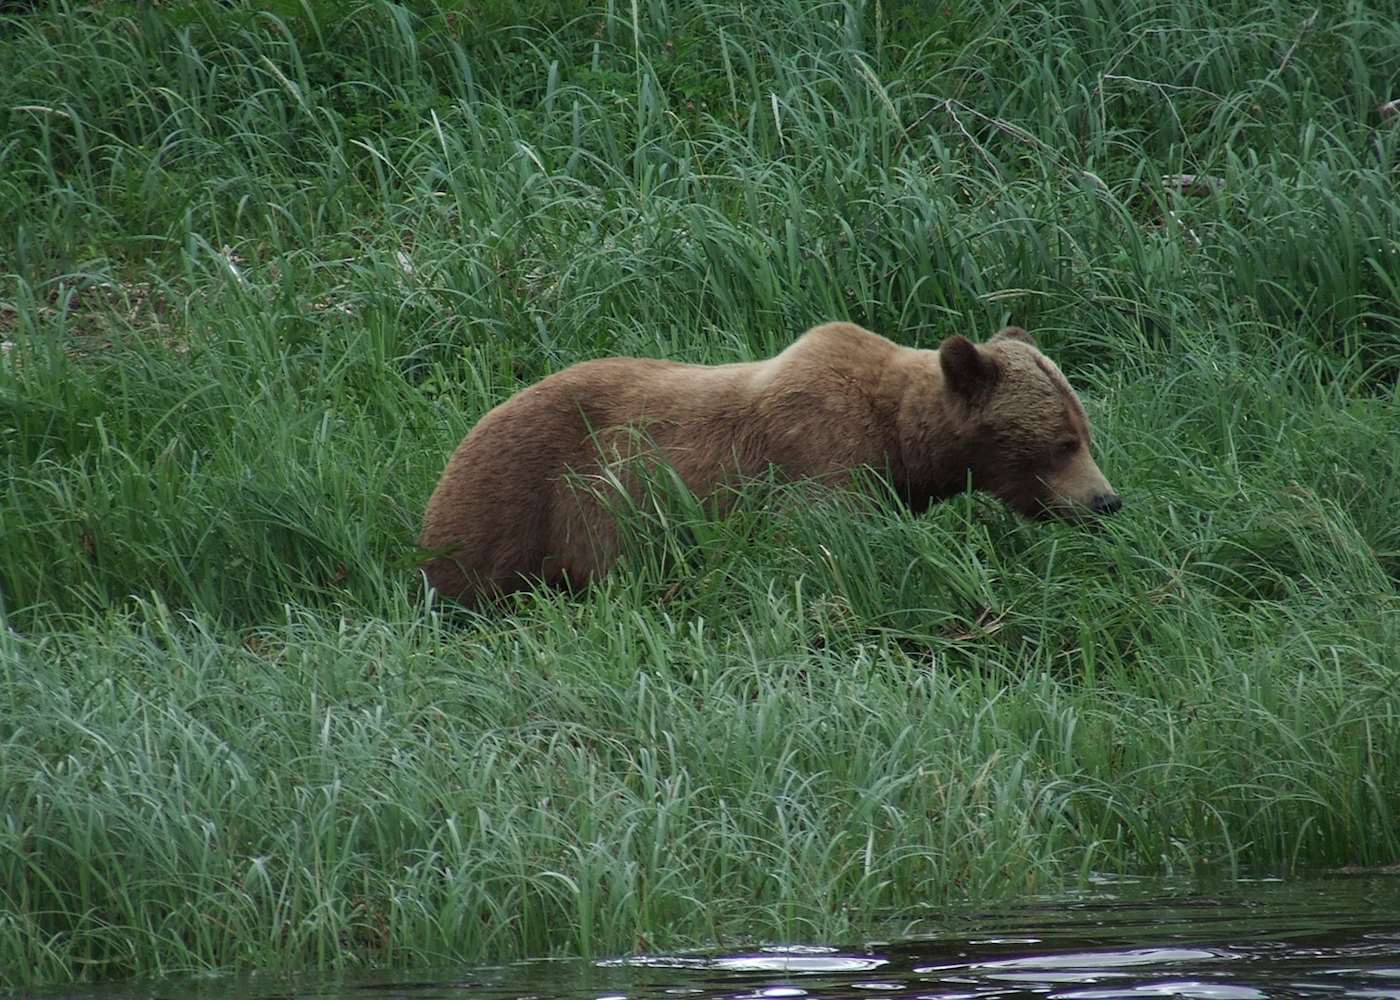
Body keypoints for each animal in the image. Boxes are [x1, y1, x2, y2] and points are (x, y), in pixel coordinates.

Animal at [419, 322, 1120, 608]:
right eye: (1064, 441)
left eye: (1085, 430)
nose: (1107, 501)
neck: (901, 438)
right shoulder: (821, 452)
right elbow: (818, 548)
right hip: (530, 496)